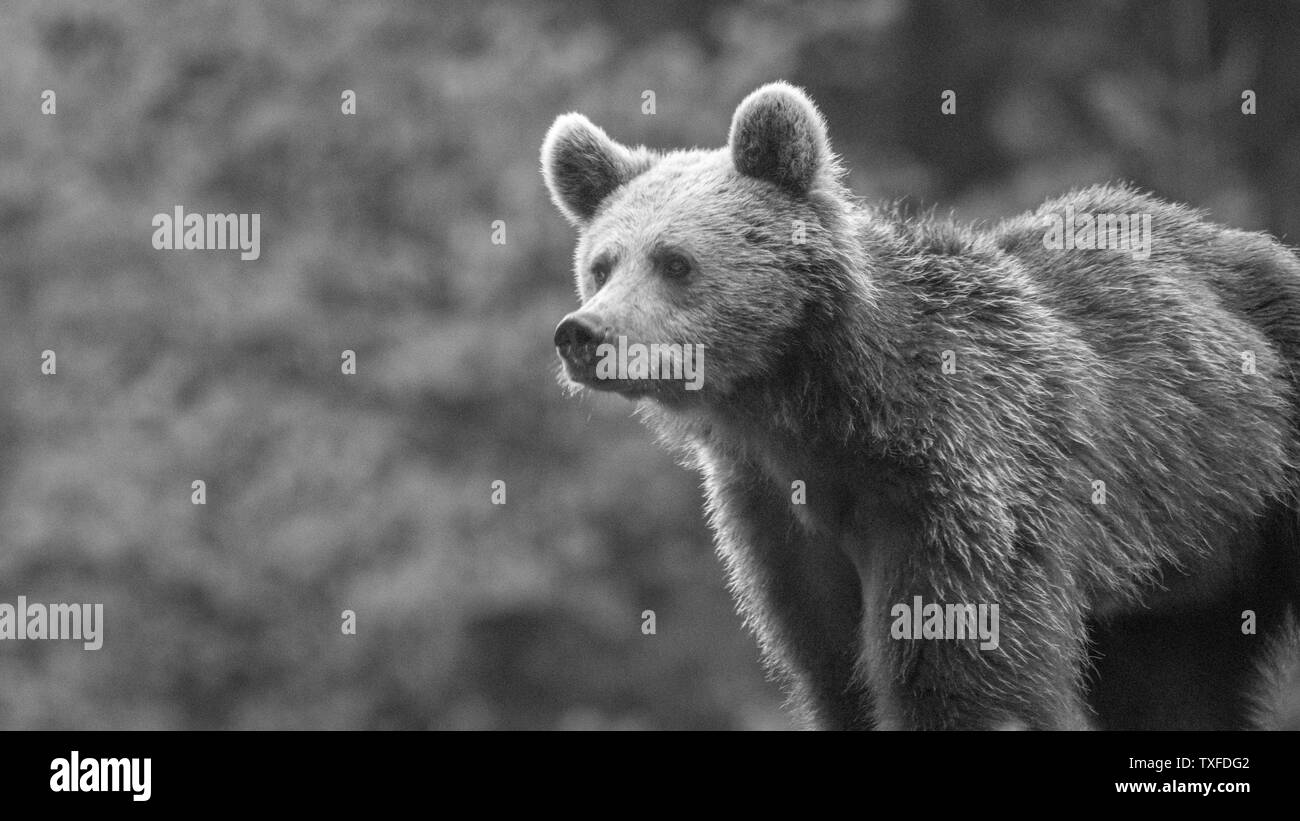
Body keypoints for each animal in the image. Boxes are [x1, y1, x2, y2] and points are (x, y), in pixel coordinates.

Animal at [541, 81, 1300, 730]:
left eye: (675, 261)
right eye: (601, 264)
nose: (585, 333)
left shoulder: (960, 486)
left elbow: (965, 666)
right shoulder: (779, 525)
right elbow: (830, 671)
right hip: (1185, 572)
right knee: (1176, 685)